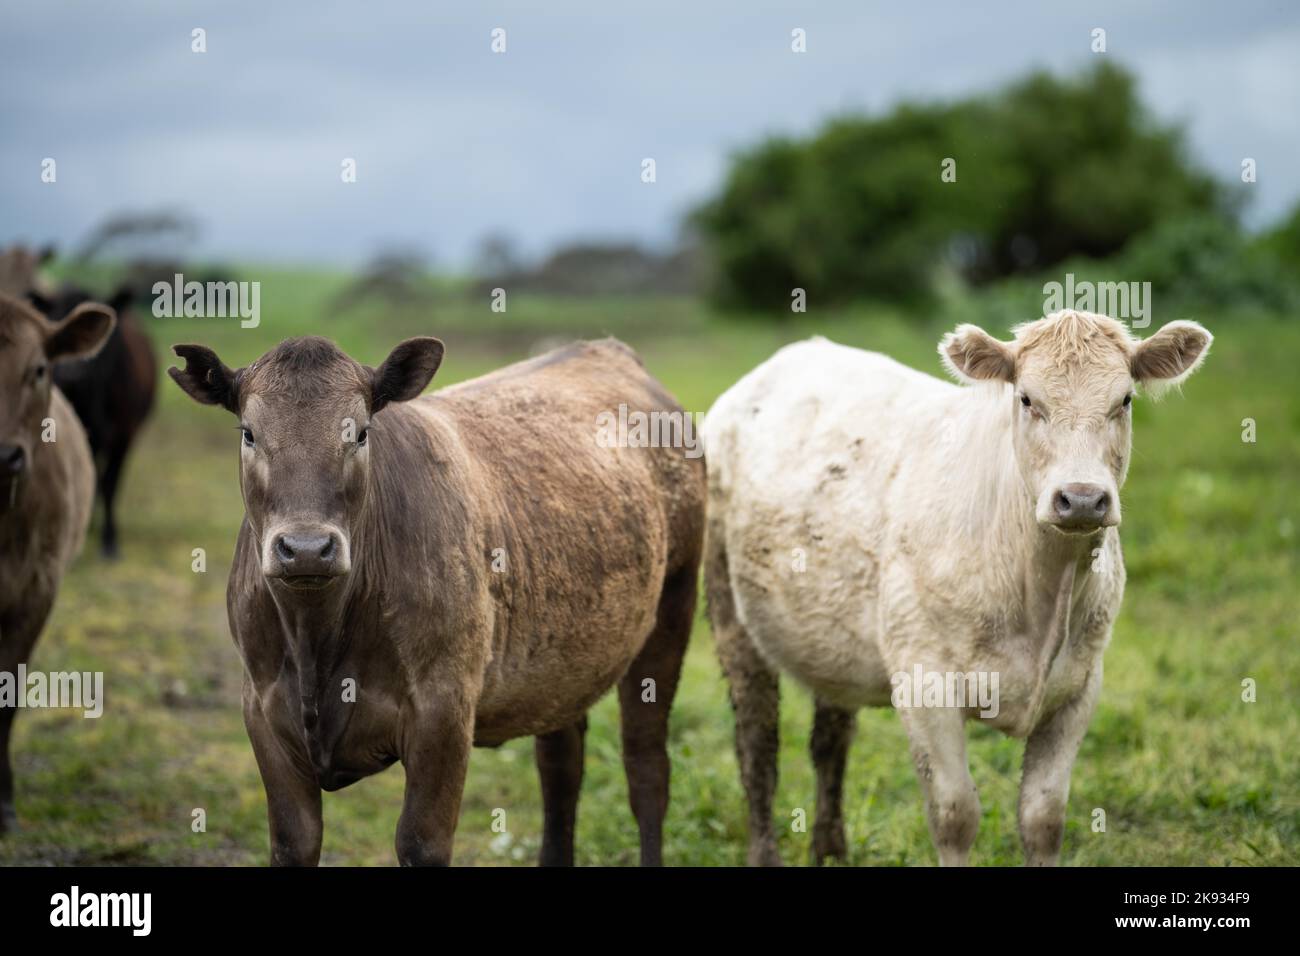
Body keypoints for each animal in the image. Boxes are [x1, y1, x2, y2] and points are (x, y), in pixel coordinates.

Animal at [168, 335, 705, 866]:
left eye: (360, 434)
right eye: (249, 433)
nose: (306, 548)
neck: (315, 638)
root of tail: (605, 349)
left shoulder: (443, 709)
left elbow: (420, 841)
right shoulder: (262, 712)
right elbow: (293, 841)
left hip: (672, 612)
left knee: (646, 772)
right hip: (563, 665)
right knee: (560, 770)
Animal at [701, 310, 1212, 866]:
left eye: (1124, 400)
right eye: (1027, 399)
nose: (1081, 499)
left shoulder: (1080, 686)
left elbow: (1044, 817)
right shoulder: (925, 683)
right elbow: (955, 814)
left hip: (831, 637)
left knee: (829, 741)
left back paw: (831, 850)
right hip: (730, 611)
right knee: (758, 747)